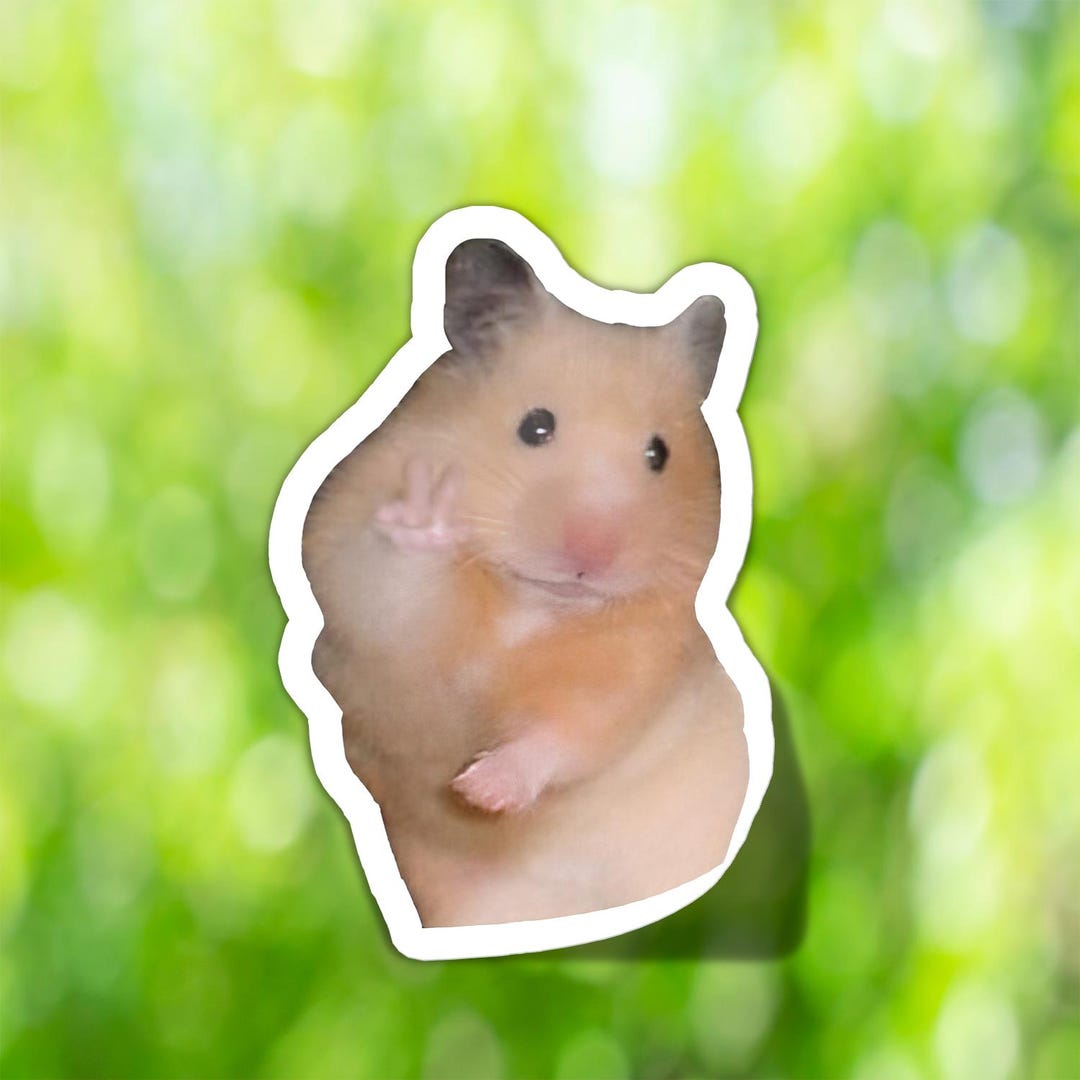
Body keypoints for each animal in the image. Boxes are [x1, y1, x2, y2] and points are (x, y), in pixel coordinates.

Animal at [302, 239, 748, 926]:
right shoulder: (363, 607)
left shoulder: (637, 666)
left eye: (660, 454)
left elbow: (569, 734)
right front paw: (426, 514)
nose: (590, 556)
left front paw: (479, 791)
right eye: (535, 426)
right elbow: (396, 590)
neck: (531, 605)